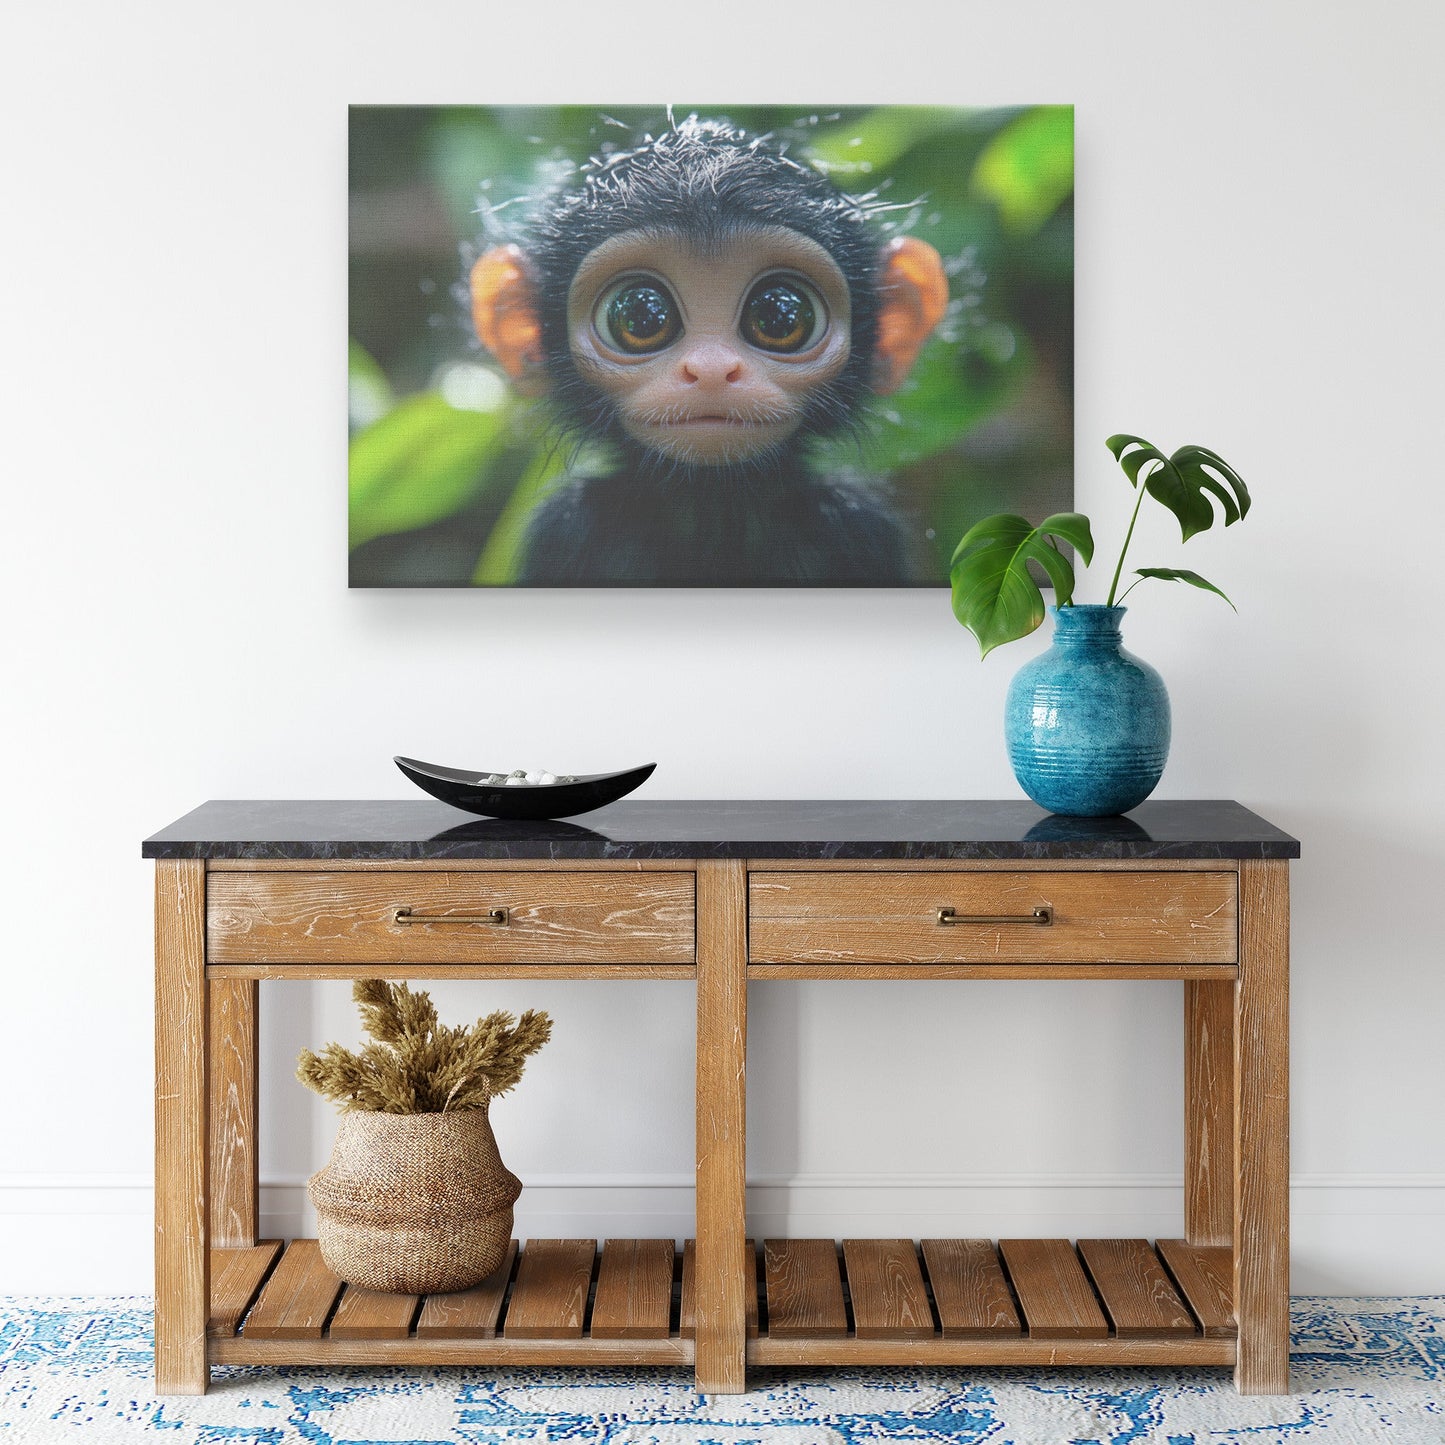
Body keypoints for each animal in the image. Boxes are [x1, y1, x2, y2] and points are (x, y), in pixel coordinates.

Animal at [469, 118, 949, 586]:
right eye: (640, 316)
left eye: (780, 316)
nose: (712, 370)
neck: (711, 510)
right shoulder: (569, 529)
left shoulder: (857, 526)